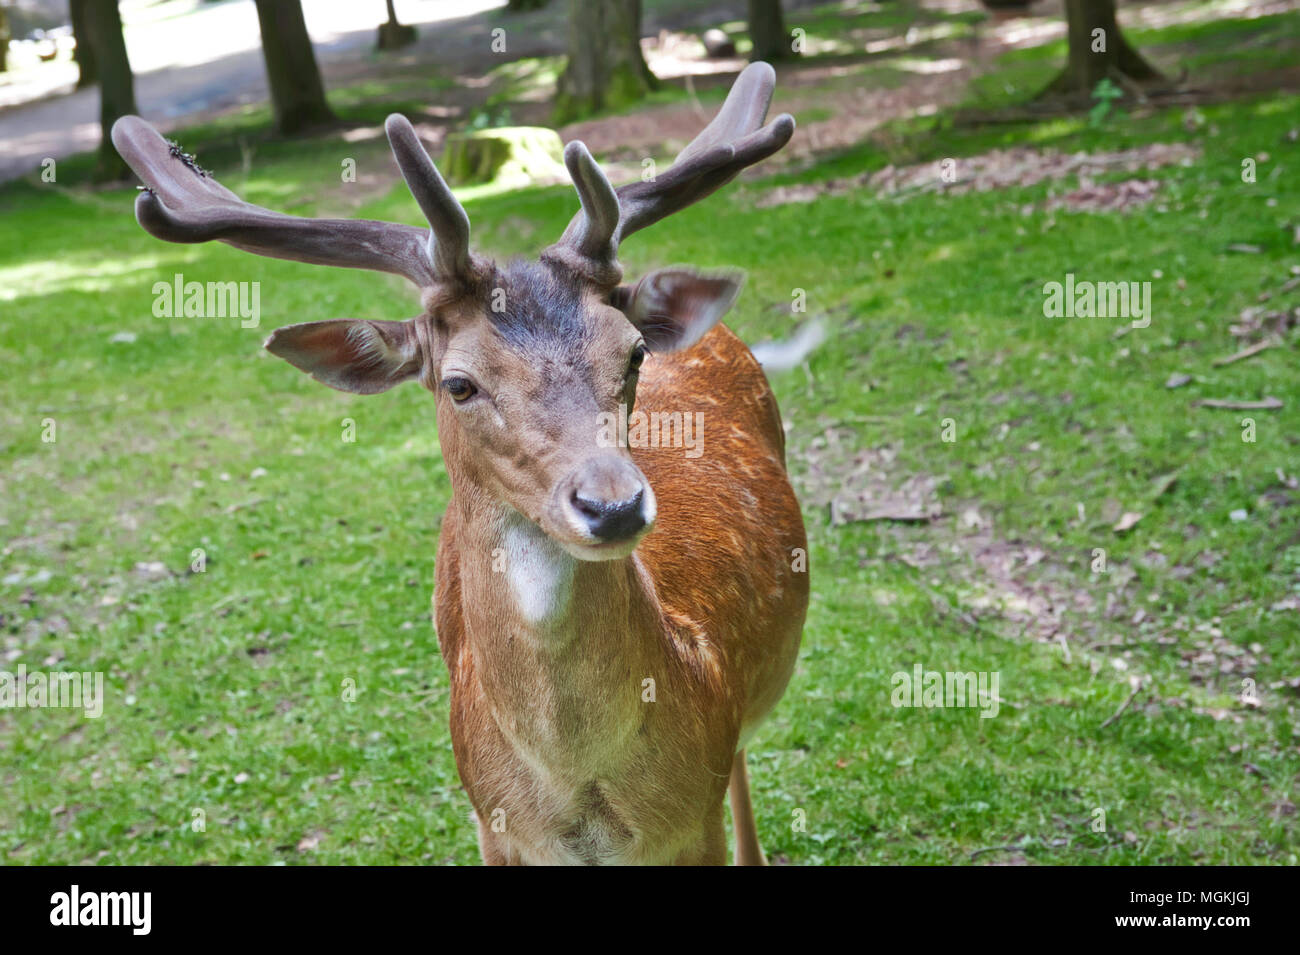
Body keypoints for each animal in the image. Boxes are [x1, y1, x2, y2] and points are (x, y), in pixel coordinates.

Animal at [111, 62, 808, 866]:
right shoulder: (491, 822)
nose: (613, 504)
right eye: (460, 383)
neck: (581, 792)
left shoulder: (694, 816)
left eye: (633, 353)